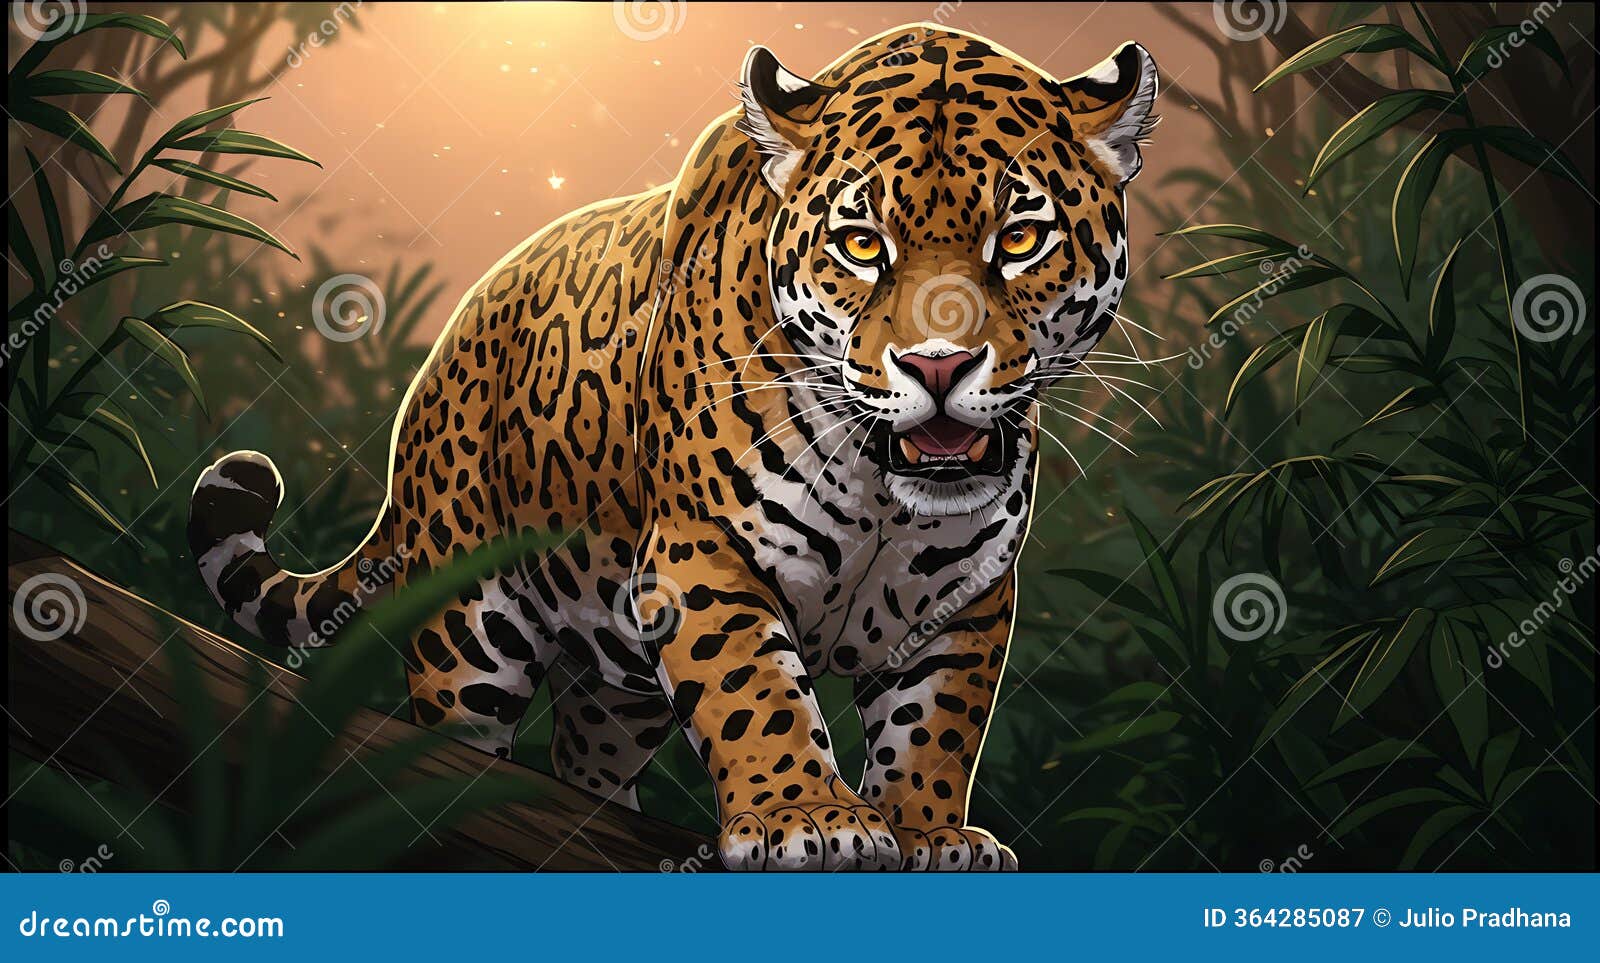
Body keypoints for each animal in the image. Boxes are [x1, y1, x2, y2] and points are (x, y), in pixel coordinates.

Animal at [188, 23, 1158, 871]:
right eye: (861, 244)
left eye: (1020, 238)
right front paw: (809, 817)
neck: (886, 489)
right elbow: (755, 691)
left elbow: (936, 723)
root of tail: (438, 363)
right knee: (453, 736)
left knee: (588, 757)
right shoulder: (701, 552)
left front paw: (929, 832)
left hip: (613, 683)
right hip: (466, 627)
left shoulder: (966, 590)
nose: (939, 364)